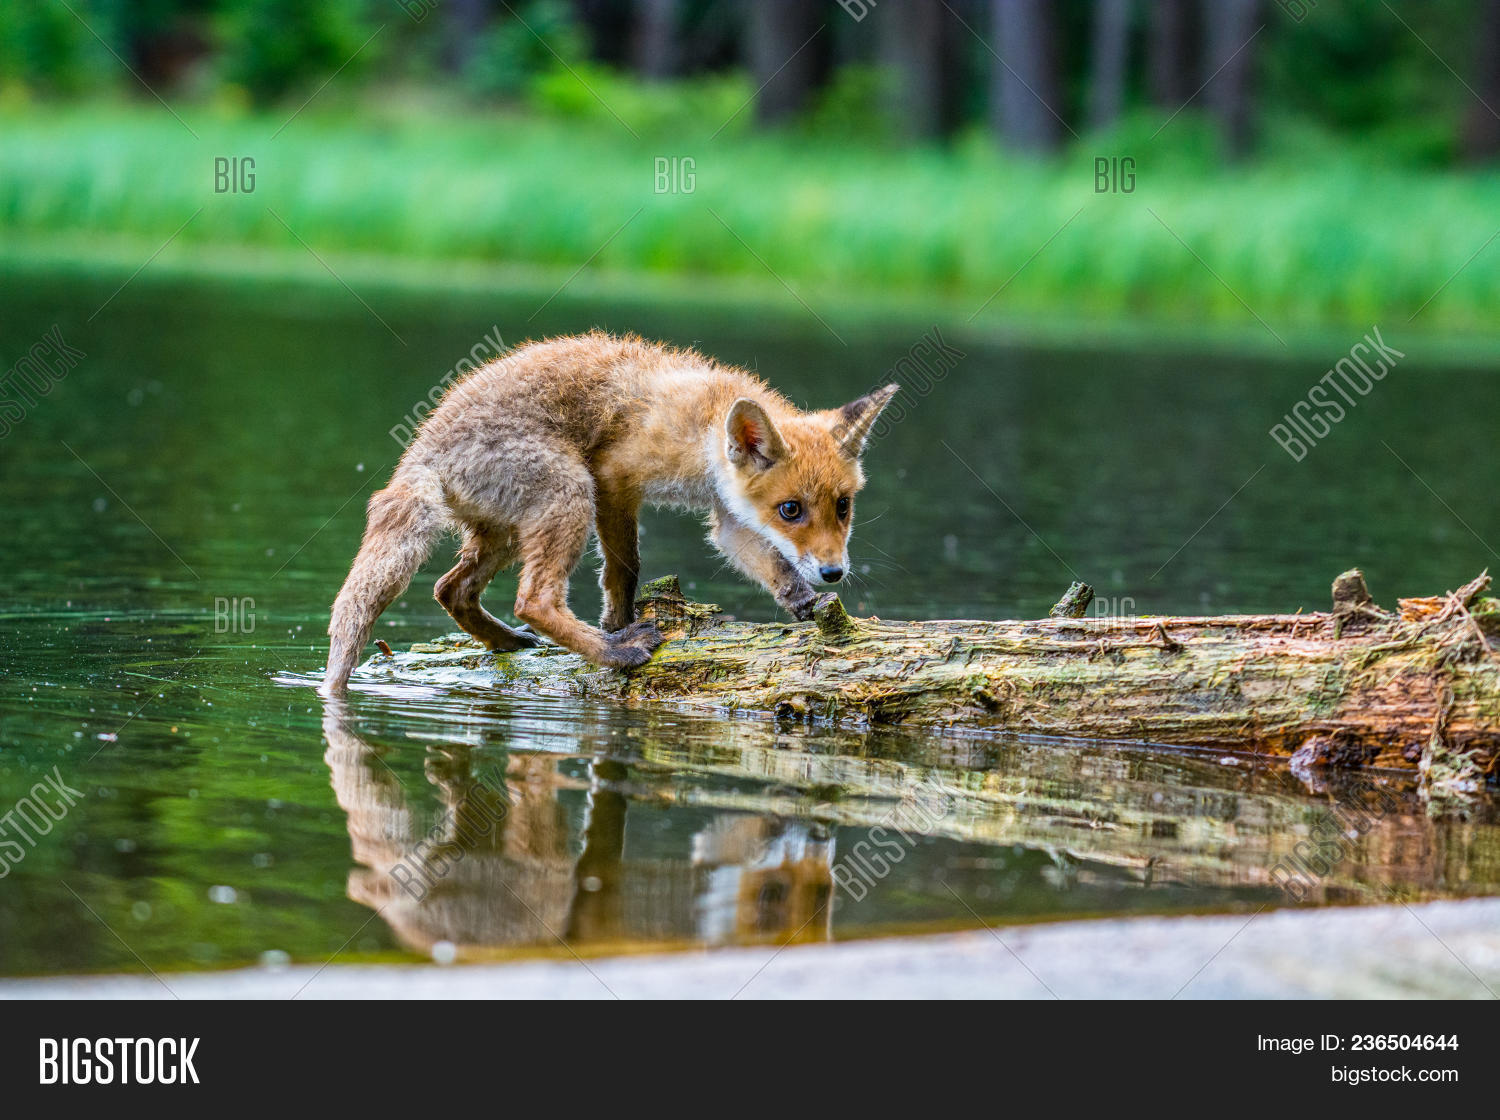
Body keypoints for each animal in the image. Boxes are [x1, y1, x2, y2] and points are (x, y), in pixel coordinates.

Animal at [321, 331, 898, 697]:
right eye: (791, 509)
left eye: (843, 506)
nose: (834, 572)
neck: (701, 430)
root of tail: (423, 448)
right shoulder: (612, 479)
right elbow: (625, 568)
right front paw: (618, 623)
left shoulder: (729, 514)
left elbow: (767, 562)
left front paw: (802, 600)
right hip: (567, 492)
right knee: (533, 599)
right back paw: (612, 652)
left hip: (506, 532)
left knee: (450, 589)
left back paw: (505, 641)